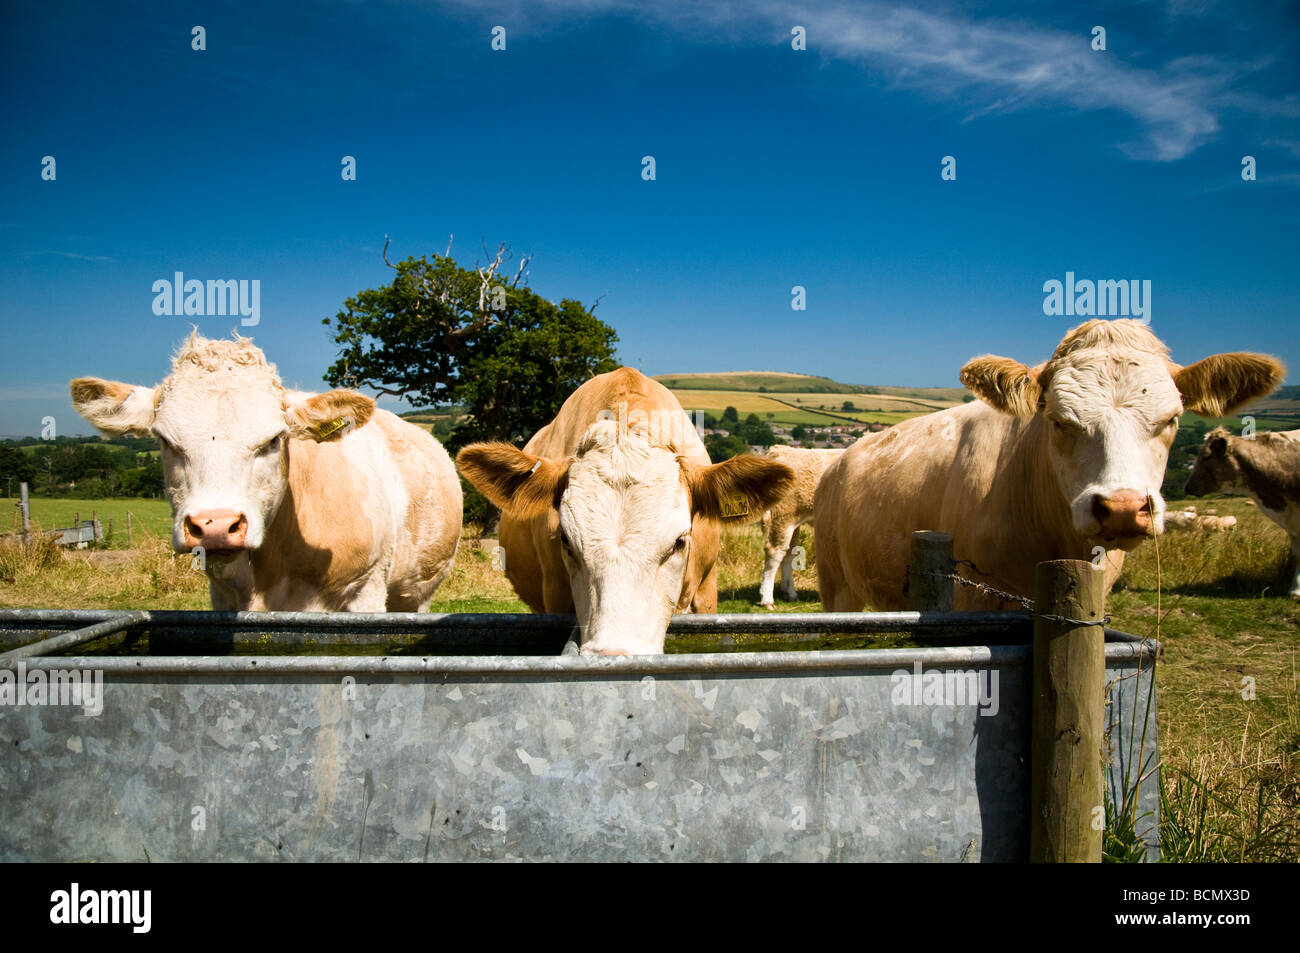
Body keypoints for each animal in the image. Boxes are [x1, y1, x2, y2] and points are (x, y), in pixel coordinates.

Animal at [70, 331, 462, 611]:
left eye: (274, 439)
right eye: (165, 440)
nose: (215, 525)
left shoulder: (365, 591)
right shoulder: (222, 597)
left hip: (415, 592)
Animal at [756, 446, 844, 608]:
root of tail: (780, 450)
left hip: (792, 522)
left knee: (788, 553)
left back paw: (789, 593)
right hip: (784, 517)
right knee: (775, 552)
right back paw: (767, 599)